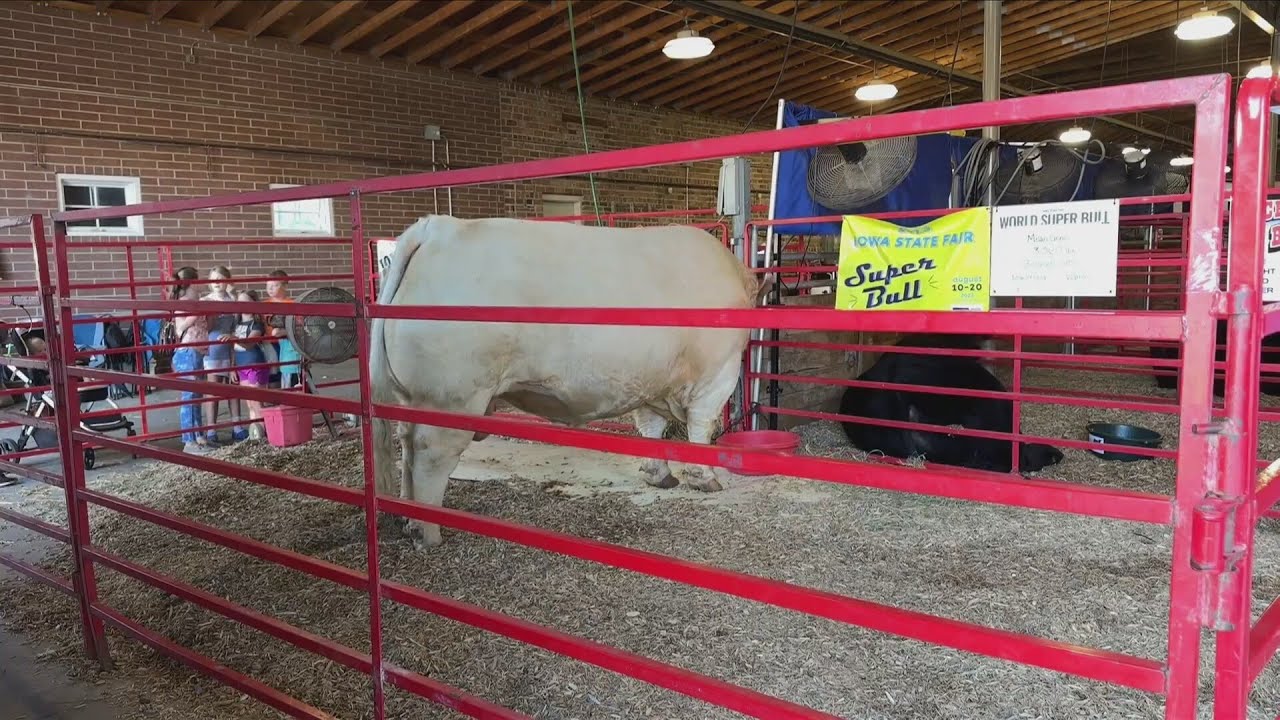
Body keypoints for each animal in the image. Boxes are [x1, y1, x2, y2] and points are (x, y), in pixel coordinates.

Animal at [370, 215, 774, 549]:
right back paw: (427, 531)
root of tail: (437, 228)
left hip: (416, 398)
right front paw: (704, 477)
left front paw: (658, 473)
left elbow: (651, 429)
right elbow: (700, 428)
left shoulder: (650, 378)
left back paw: (407, 518)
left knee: (406, 446)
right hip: (452, 397)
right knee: (430, 455)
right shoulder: (716, 375)